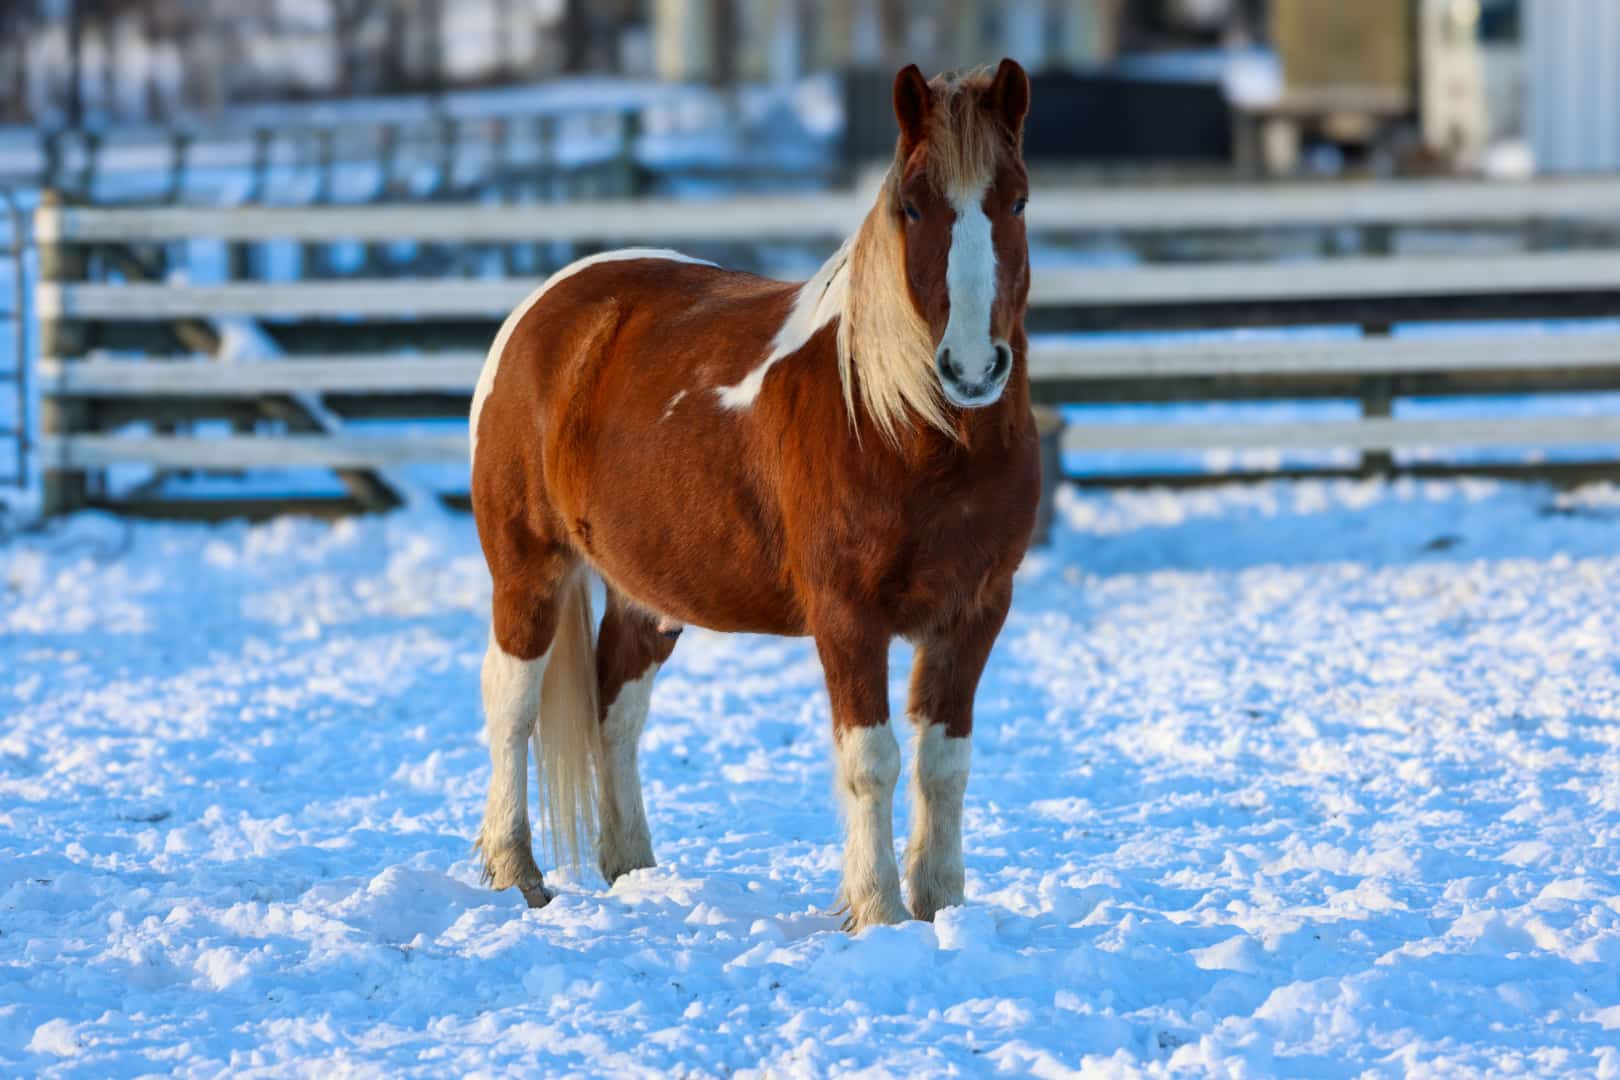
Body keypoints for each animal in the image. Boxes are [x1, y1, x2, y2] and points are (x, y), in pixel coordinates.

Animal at [468, 59, 1038, 931]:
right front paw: (879, 912)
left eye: (1016, 200)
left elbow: (945, 761)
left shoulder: (976, 610)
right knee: (513, 704)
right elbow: (872, 759)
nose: (972, 367)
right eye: (913, 205)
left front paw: (941, 907)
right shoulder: (847, 615)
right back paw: (517, 873)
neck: (912, 428)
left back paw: (633, 867)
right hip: (528, 569)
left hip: (647, 593)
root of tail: (547, 307)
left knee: (615, 709)